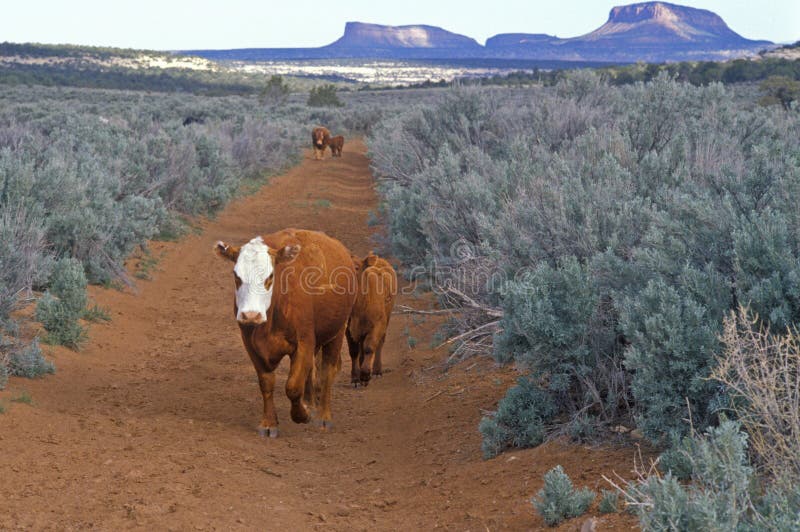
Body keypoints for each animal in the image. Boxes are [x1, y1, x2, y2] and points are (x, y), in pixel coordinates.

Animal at [214, 229, 357, 437]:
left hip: (337, 332)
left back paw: (323, 417)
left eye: (270, 276)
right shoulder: (250, 343)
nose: (251, 315)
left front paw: (301, 415)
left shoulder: (304, 341)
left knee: (326, 372)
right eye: (236, 276)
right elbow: (266, 382)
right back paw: (310, 403)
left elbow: (293, 386)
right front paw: (269, 424)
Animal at [346, 252, 397, 386]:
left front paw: (365, 376)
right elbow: (353, 351)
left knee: (379, 343)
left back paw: (376, 371)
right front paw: (355, 378)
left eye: (357, 267)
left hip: (386, 320)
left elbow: (369, 347)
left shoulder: (378, 324)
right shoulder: (348, 329)